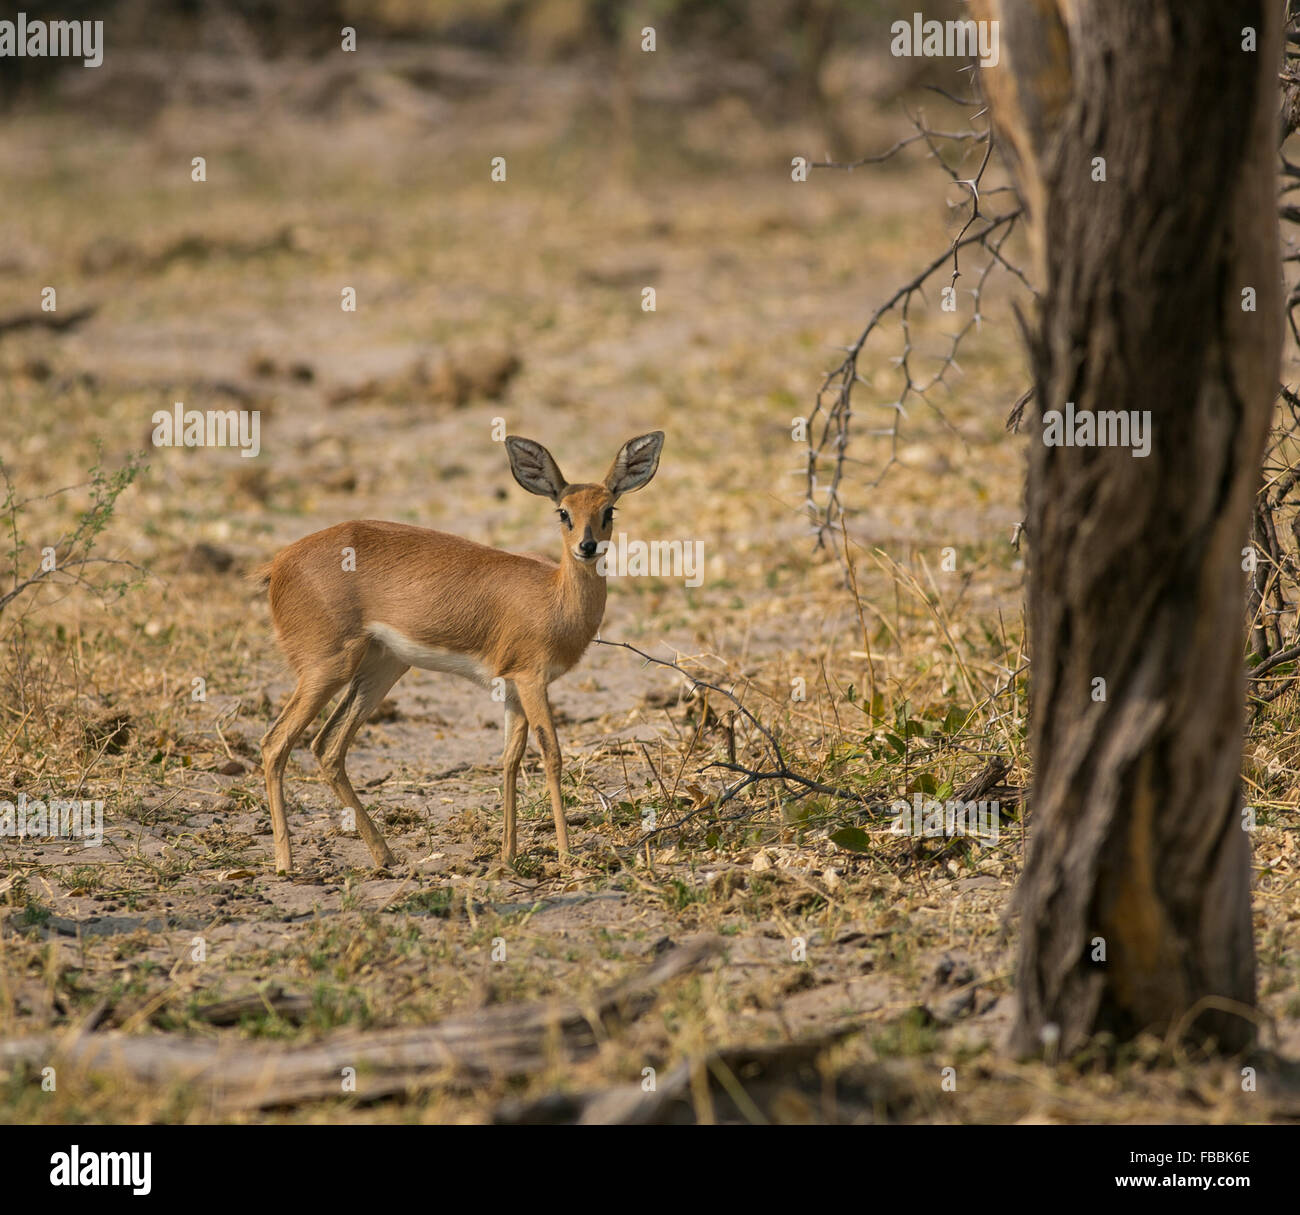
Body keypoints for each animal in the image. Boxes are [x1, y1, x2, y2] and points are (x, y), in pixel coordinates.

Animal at [256, 431, 664, 874]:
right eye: (563, 512)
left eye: (609, 509)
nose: (587, 547)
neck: (554, 597)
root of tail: (279, 564)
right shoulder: (532, 680)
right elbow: (552, 755)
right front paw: (565, 853)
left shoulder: (512, 689)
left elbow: (509, 759)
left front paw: (508, 855)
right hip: (327, 668)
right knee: (275, 743)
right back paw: (285, 863)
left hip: (383, 667)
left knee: (327, 747)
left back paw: (384, 855)